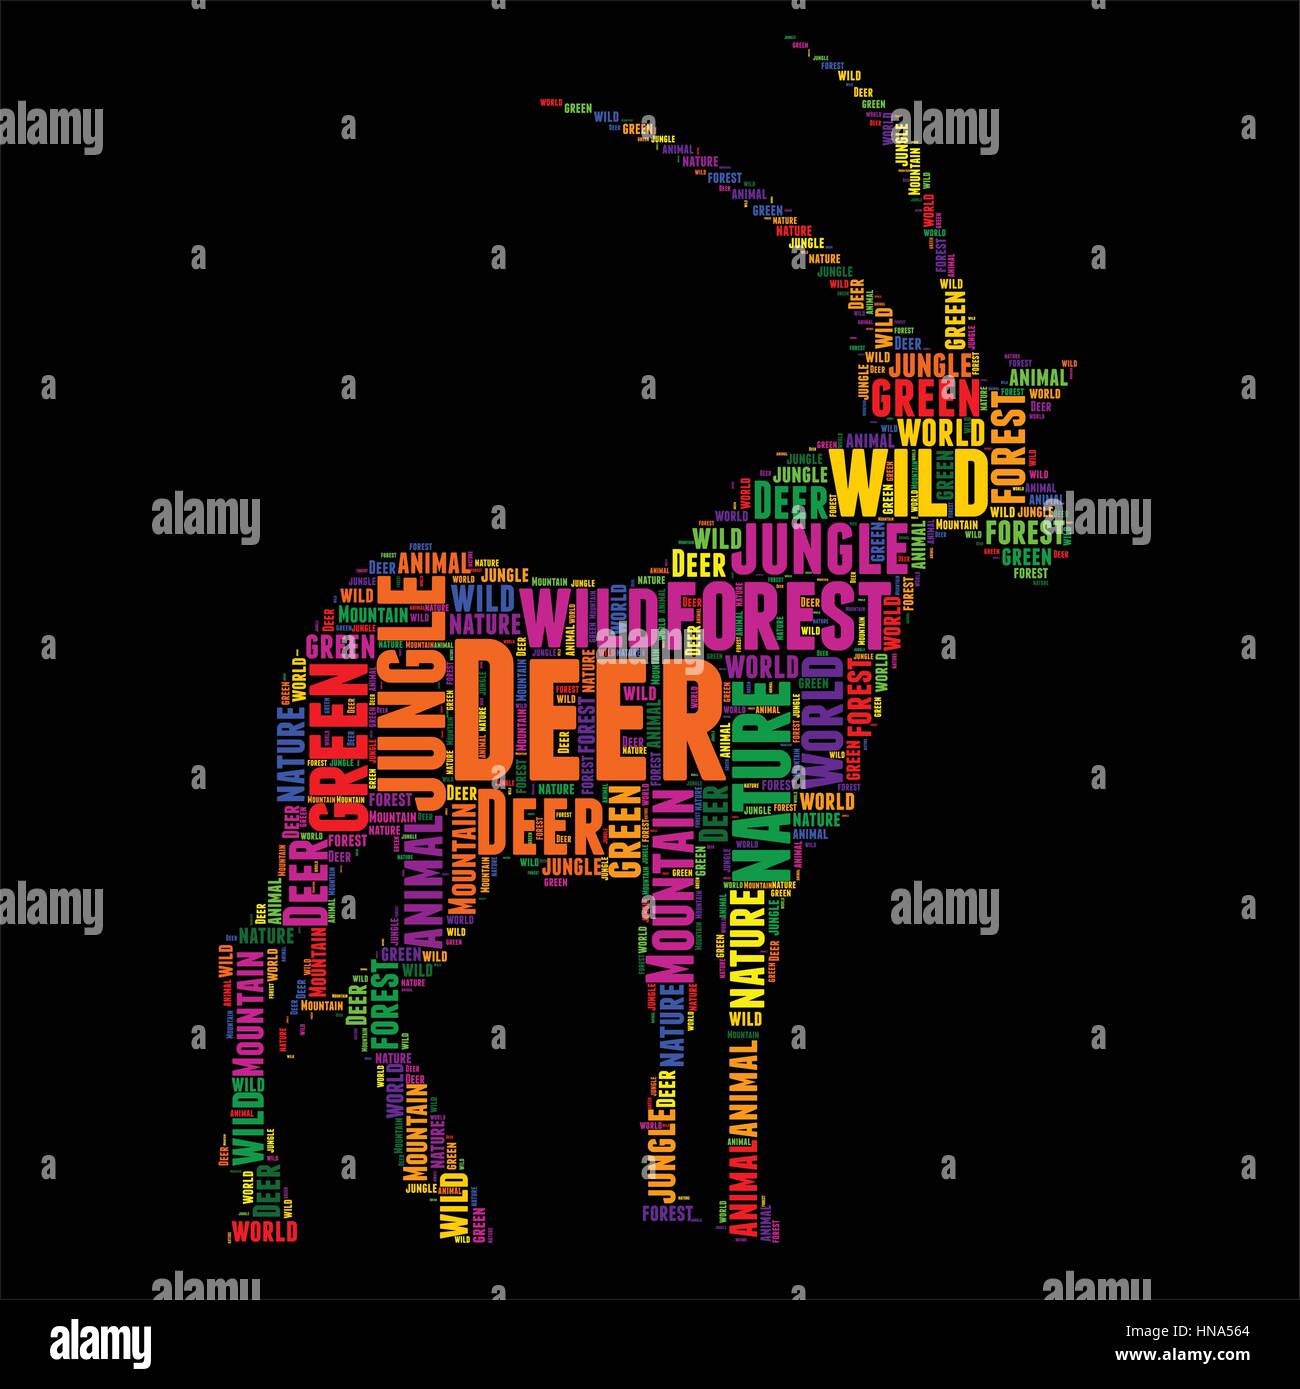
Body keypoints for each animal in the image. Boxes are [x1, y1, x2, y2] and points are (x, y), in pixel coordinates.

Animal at [218, 37, 1076, 1250]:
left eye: (1006, 424)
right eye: (927, 432)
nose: (1045, 531)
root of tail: (334, 618)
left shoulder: (760, 850)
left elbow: (731, 992)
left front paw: (725, 1204)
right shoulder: (687, 833)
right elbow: (684, 984)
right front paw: (688, 1201)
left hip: (410, 841)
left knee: (346, 979)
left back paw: (438, 1205)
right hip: (361, 825)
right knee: (299, 965)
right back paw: (298, 1206)